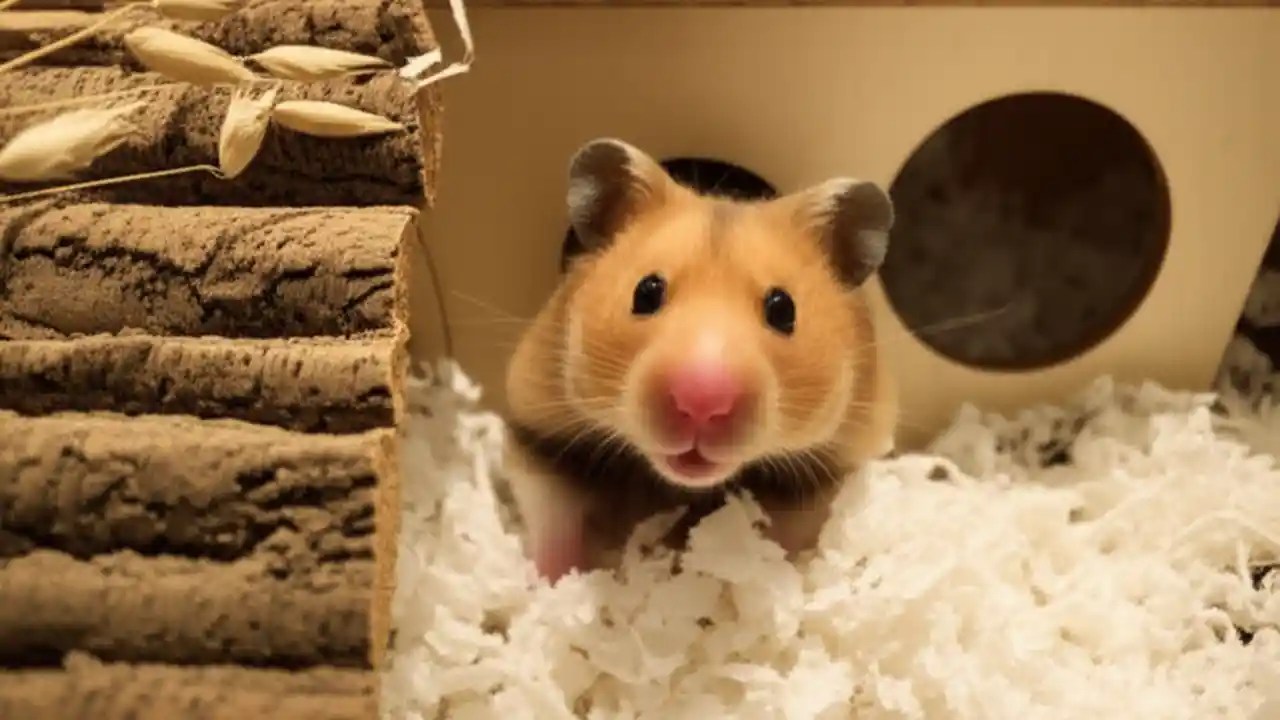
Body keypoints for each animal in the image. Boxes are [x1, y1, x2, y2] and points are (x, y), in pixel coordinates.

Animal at [504, 138, 898, 582]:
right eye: (646, 292)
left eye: (783, 310)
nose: (701, 403)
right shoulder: (538, 432)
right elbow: (554, 522)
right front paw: (554, 582)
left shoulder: (824, 474)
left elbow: (780, 540)